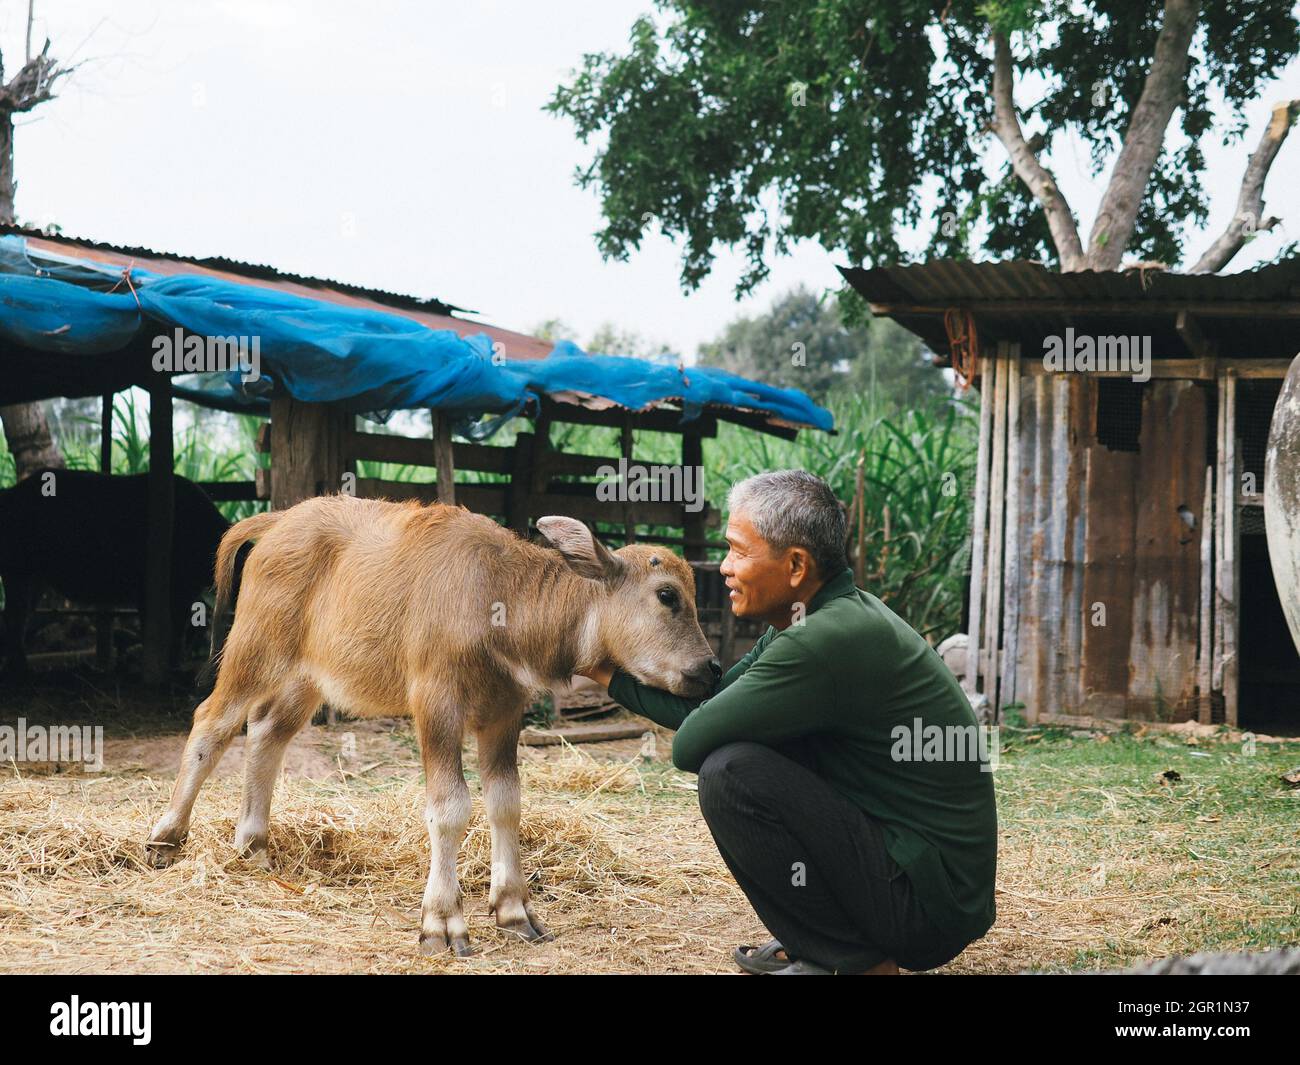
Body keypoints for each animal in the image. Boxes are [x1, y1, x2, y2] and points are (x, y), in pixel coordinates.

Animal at [0, 468, 230, 678]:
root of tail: (10, 494)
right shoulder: (152, 590)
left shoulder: (186, 593)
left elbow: (182, 629)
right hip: (17, 571)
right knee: (14, 616)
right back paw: (20, 669)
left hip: (33, 578)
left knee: (20, 616)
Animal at [147, 494, 718, 956]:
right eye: (667, 595)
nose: (710, 670)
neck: (499, 597)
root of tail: (281, 518)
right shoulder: (436, 703)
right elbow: (450, 808)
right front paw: (443, 921)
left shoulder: (504, 713)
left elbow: (505, 802)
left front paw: (514, 910)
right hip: (256, 648)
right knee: (212, 723)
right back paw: (166, 837)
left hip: (308, 674)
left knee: (268, 731)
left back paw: (254, 846)